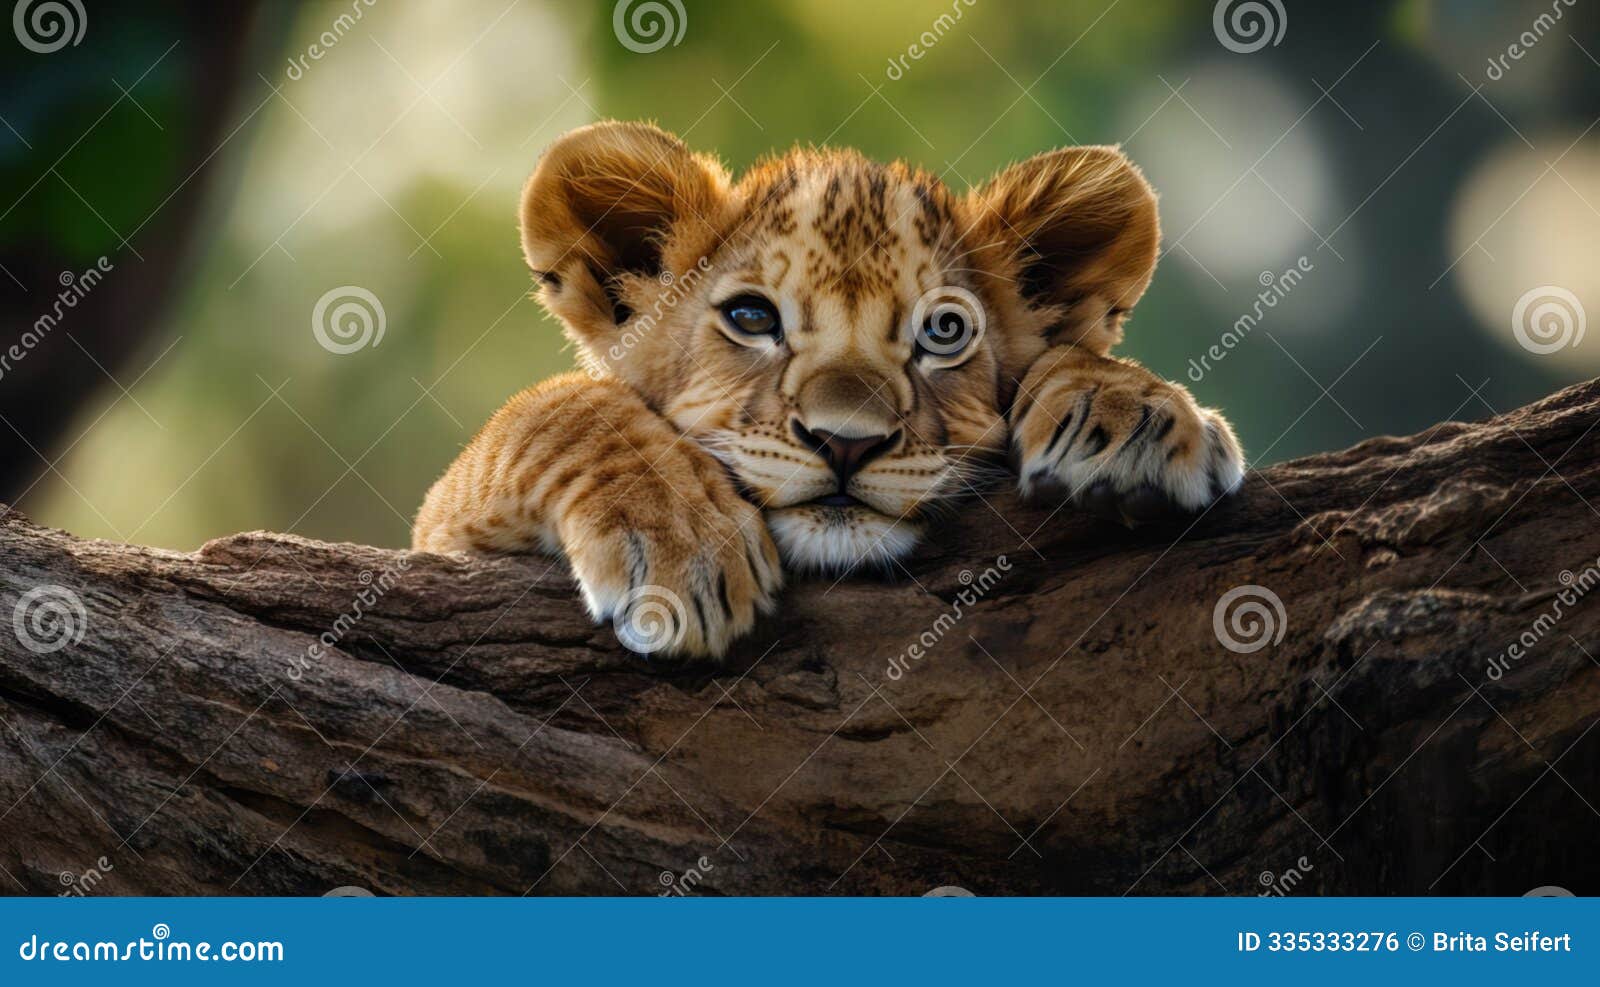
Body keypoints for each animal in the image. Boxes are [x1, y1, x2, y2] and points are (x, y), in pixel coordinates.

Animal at [412, 121, 1243, 658]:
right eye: (752, 318)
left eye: (945, 331)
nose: (847, 442)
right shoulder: (435, 539)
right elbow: (550, 406)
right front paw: (685, 543)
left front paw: (1130, 411)